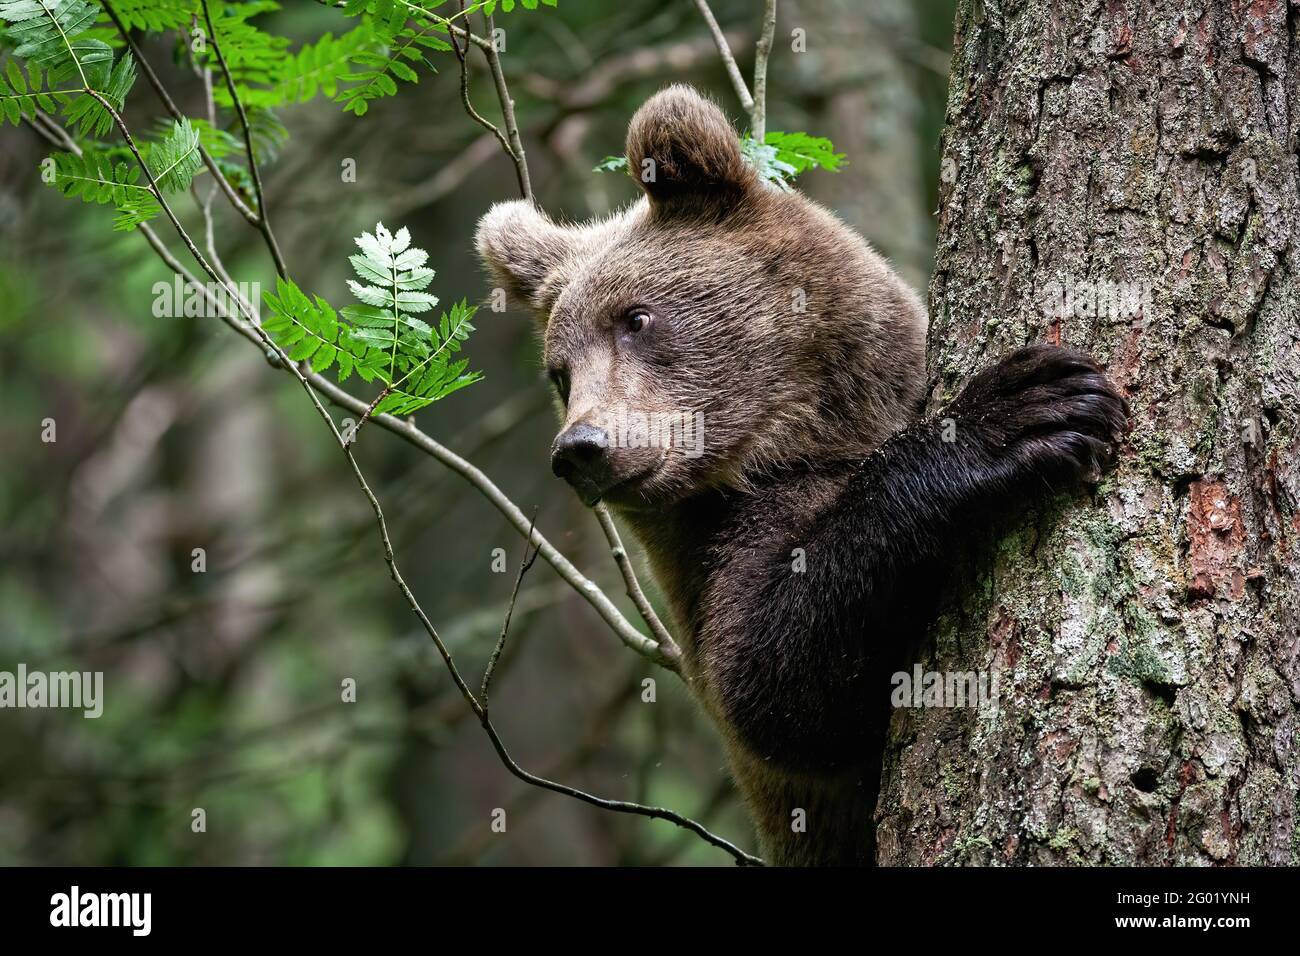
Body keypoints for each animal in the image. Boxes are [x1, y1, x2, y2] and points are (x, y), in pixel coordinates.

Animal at [475, 84, 1128, 866]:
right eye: (560, 371)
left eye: (635, 318)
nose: (582, 446)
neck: (800, 435)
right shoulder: (717, 559)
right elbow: (779, 691)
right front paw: (1023, 412)